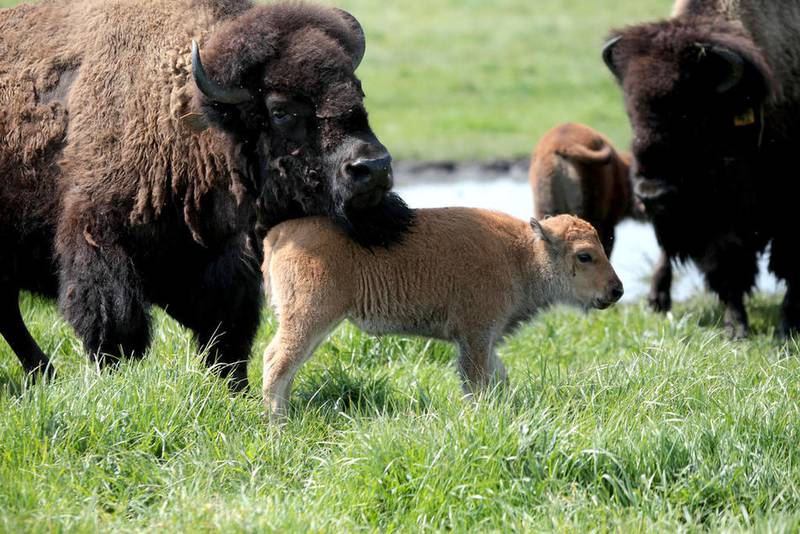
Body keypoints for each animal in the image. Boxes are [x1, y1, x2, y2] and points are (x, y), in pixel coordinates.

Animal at [0, 0, 412, 387]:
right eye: (281, 111)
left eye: (357, 90)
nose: (373, 168)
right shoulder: (97, 237)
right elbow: (115, 326)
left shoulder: (228, 263)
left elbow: (227, 334)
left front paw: (238, 390)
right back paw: (44, 373)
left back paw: (43, 374)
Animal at [603, 1, 800, 338]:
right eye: (631, 115)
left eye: (692, 117)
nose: (652, 195)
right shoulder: (716, 219)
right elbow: (727, 264)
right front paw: (736, 327)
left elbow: (786, 266)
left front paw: (785, 327)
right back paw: (657, 300)